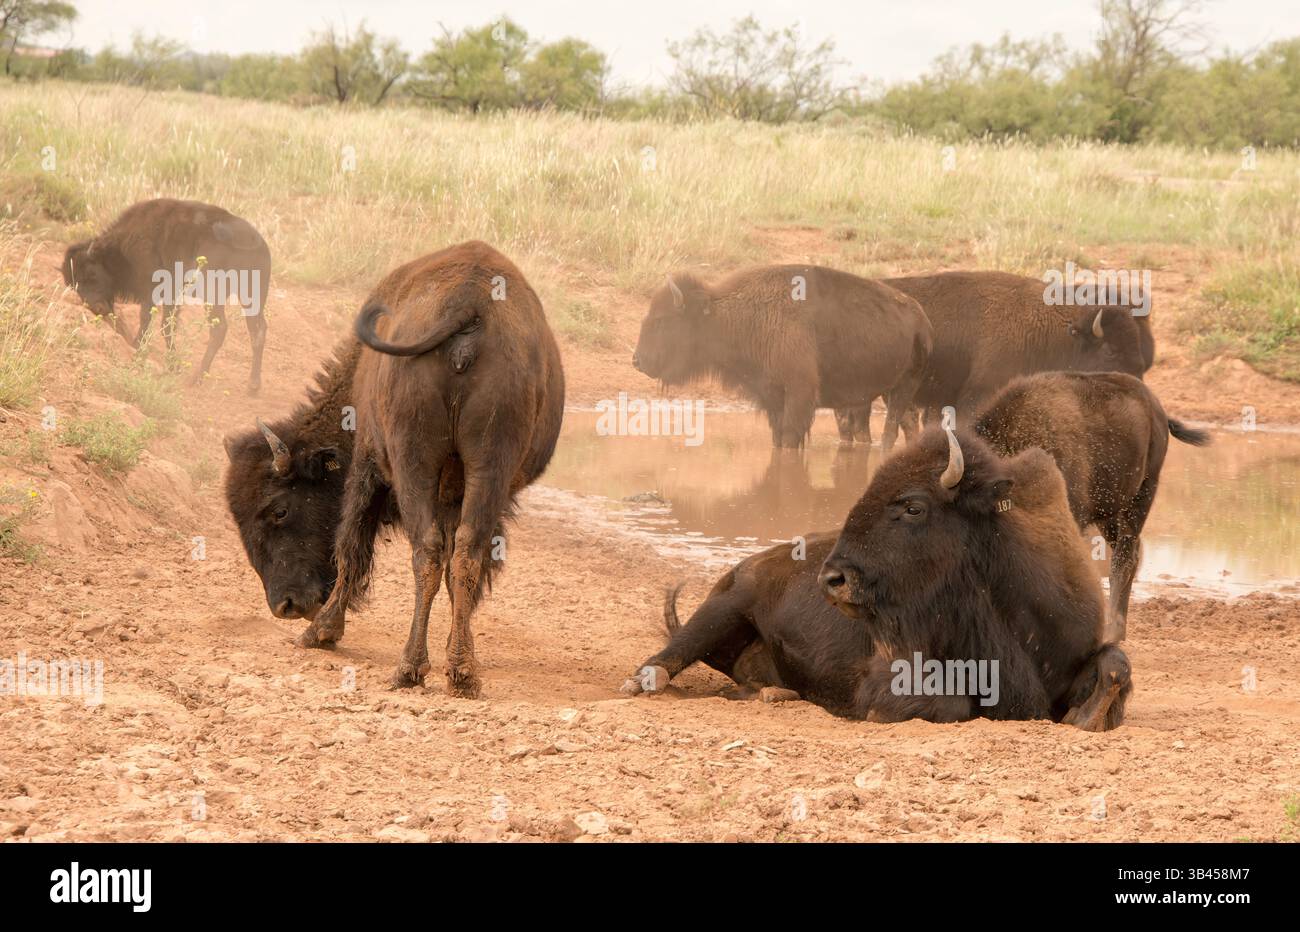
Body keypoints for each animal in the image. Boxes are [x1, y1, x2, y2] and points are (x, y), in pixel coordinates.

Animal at [62, 198, 271, 394]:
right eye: (74, 285)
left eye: (91, 273)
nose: (96, 307)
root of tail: (253, 241)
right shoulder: (172, 295)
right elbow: (165, 325)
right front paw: (165, 360)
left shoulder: (154, 290)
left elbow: (153, 321)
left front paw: (142, 351)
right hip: (252, 298)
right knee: (258, 330)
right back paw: (253, 386)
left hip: (214, 297)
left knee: (220, 330)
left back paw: (196, 378)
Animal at [225, 241, 564, 698]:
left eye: (279, 510)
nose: (286, 606)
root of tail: (470, 303)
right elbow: (462, 571)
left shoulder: (367, 461)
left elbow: (351, 541)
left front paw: (322, 632)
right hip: (487, 465)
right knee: (463, 552)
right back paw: (461, 672)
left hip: (411, 462)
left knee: (425, 550)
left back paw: (407, 668)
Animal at [624, 427, 1131, 731]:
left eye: (913, 506)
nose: (833, 579)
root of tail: (746, 566)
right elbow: (951, 704)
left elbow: (1115, 664)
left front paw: (1087, 714)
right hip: (724, 607)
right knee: (668, 658)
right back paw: (644, 683)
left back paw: (774, 692)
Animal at [633, 265, 933, 452]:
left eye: (661, 321)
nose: (637, 360)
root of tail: (921, 318)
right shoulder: (772, 397)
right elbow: (777, 436)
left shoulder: (799, 395)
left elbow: (790, 437)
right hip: (889, 390)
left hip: (904, 387)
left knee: (891, 429)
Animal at [974, 371, 1209, 642]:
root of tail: (1157, 408)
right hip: (1108, 514)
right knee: (1130, 553)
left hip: (1141, 496)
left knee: (1124, 558)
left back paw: (1112, 632)